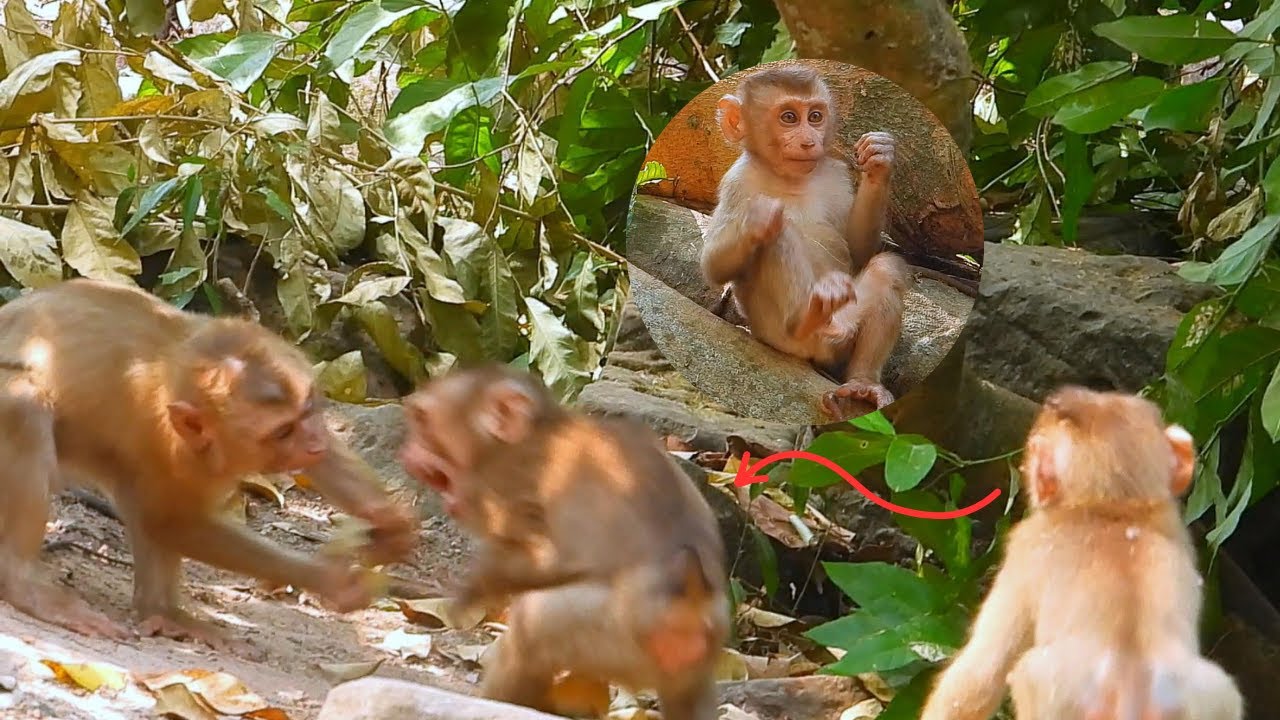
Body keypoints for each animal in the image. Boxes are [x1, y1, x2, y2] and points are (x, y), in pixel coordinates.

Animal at [0, 279, 417, 655]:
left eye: (309, 410)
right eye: (282, 431)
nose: (312, 443)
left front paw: (388, 521)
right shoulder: (172, 447)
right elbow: (171, 521)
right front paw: (329, 579)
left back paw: (163, 612)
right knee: (24, 408)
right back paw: (23, 582)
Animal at [398, 364, 730, 720]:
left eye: (421, 419)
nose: (407, 453)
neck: (539, 431)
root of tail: (690, 596)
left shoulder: (507, 482)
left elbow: (551, 557)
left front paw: (477, 587)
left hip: (612, 634)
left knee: (530, 632)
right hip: (691, 656)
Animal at [700, 64, 911, 420]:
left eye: (815, 116)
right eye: (788, 117)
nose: (809, 141)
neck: (788, 179)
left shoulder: (836, 174)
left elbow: (859, 249)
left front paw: (879, 160)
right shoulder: (737, 182)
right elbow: (713, 265)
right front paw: (757, 220)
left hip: (842, 336)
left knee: (886, 269)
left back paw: (863, 382)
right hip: (775, 335)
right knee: (778, 236)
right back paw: (804, 317)